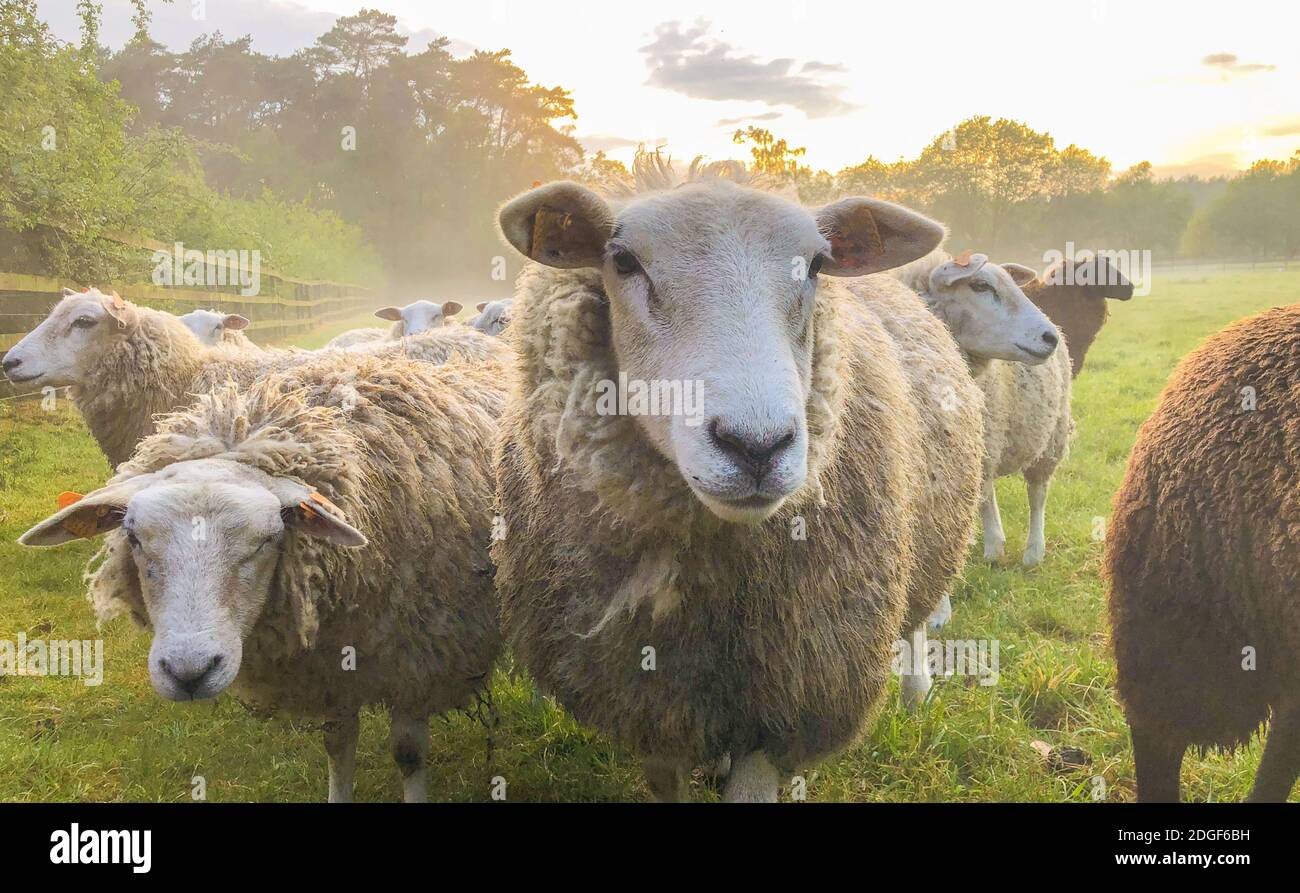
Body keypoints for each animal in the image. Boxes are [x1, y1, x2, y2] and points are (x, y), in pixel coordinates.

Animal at [18, 352, 505, 802]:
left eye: (267, 540)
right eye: (134, 538)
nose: (188, 672)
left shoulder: (419, 657)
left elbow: (408, 752)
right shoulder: (329, 672)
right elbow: (337, 744)